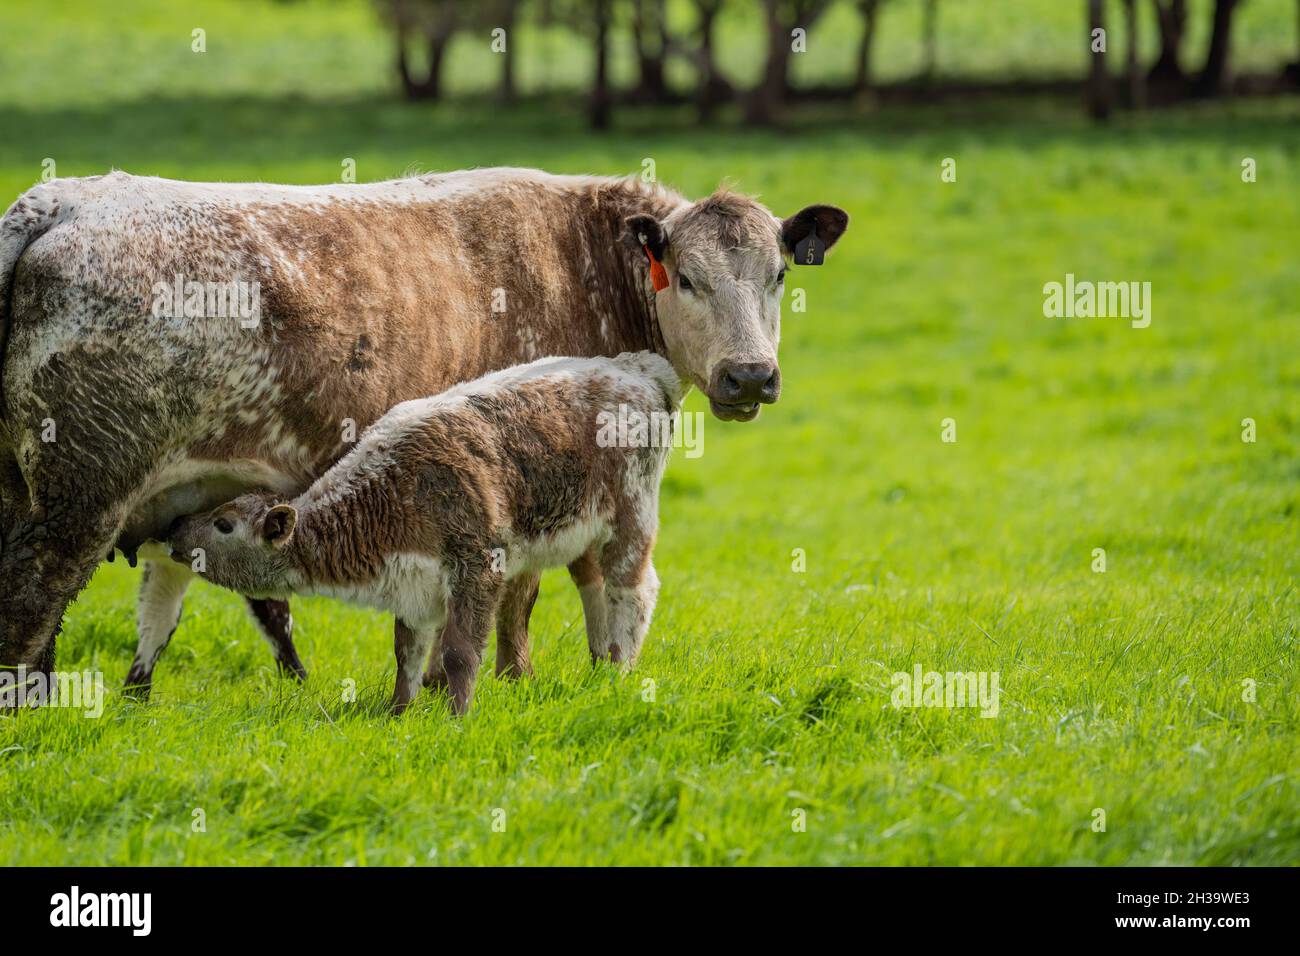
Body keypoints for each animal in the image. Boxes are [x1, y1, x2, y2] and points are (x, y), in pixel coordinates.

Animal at [170, 352, 679, 715]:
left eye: (223, 524)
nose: (173, 529)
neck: (390, 493)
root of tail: (636, 368)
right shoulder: (414, 588)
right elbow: (406, 653)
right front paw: (398, 713)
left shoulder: (477, 566)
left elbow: (459, 652)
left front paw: (458, 716)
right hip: (583, 533)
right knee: (594, 586)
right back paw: (600, 667)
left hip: (631, 515)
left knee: (632, 590)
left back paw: (620, 670)